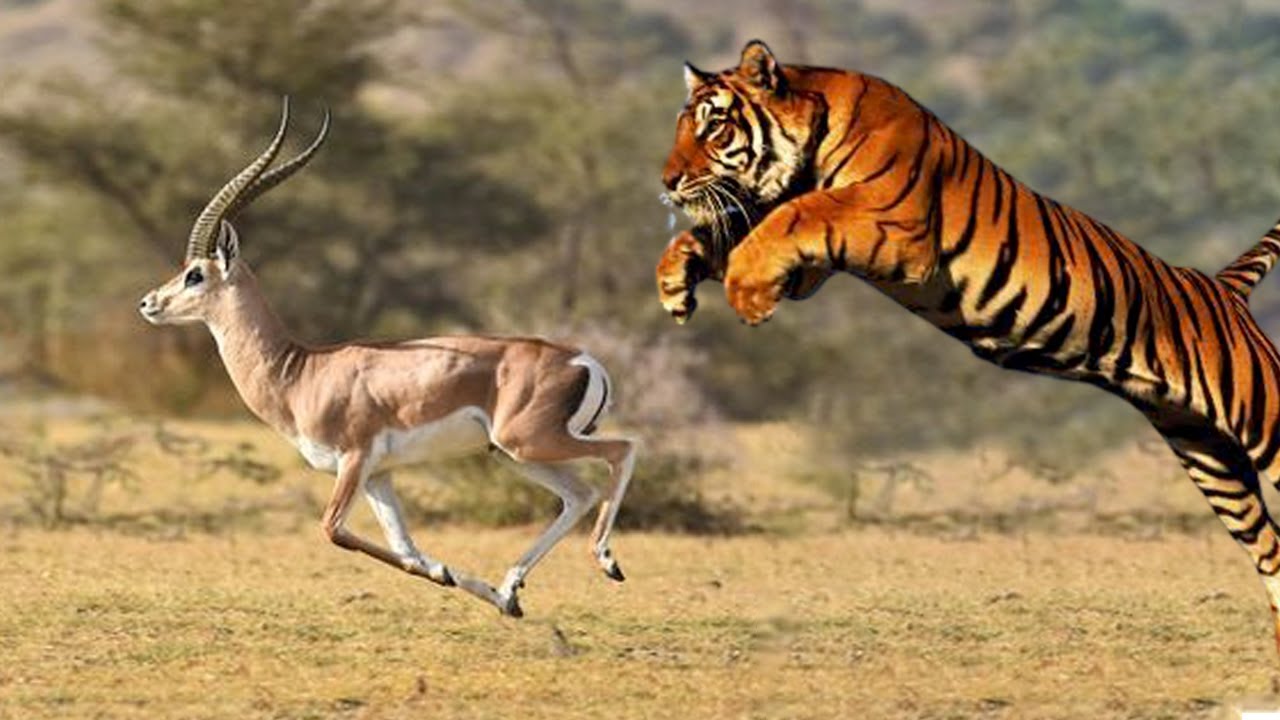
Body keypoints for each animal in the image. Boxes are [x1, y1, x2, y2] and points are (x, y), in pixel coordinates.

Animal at [138, 100, 636, 617]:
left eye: (196, 274)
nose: (148, 303)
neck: (300, 373)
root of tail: (583, 360)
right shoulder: (380, 473)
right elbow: (405, 547)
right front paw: (457, 578)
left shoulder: (355, 460)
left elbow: (332, 529)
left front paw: (450, 575)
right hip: (513, 453)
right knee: (579, 493)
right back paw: (509, 593)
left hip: (528, 441)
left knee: (622, 450)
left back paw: (607, 561)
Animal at [657, 39, 1280, 653]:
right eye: (682, 125)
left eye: (714, 126)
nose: (666, 181)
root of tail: (1223, 287)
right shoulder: (813, 267)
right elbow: (723, 233)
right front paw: (675, 284)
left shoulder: (894, 225)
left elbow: (793, 215)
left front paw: (746, 293)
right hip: (1206, 453)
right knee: (1270, 548)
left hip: (1264, 424)